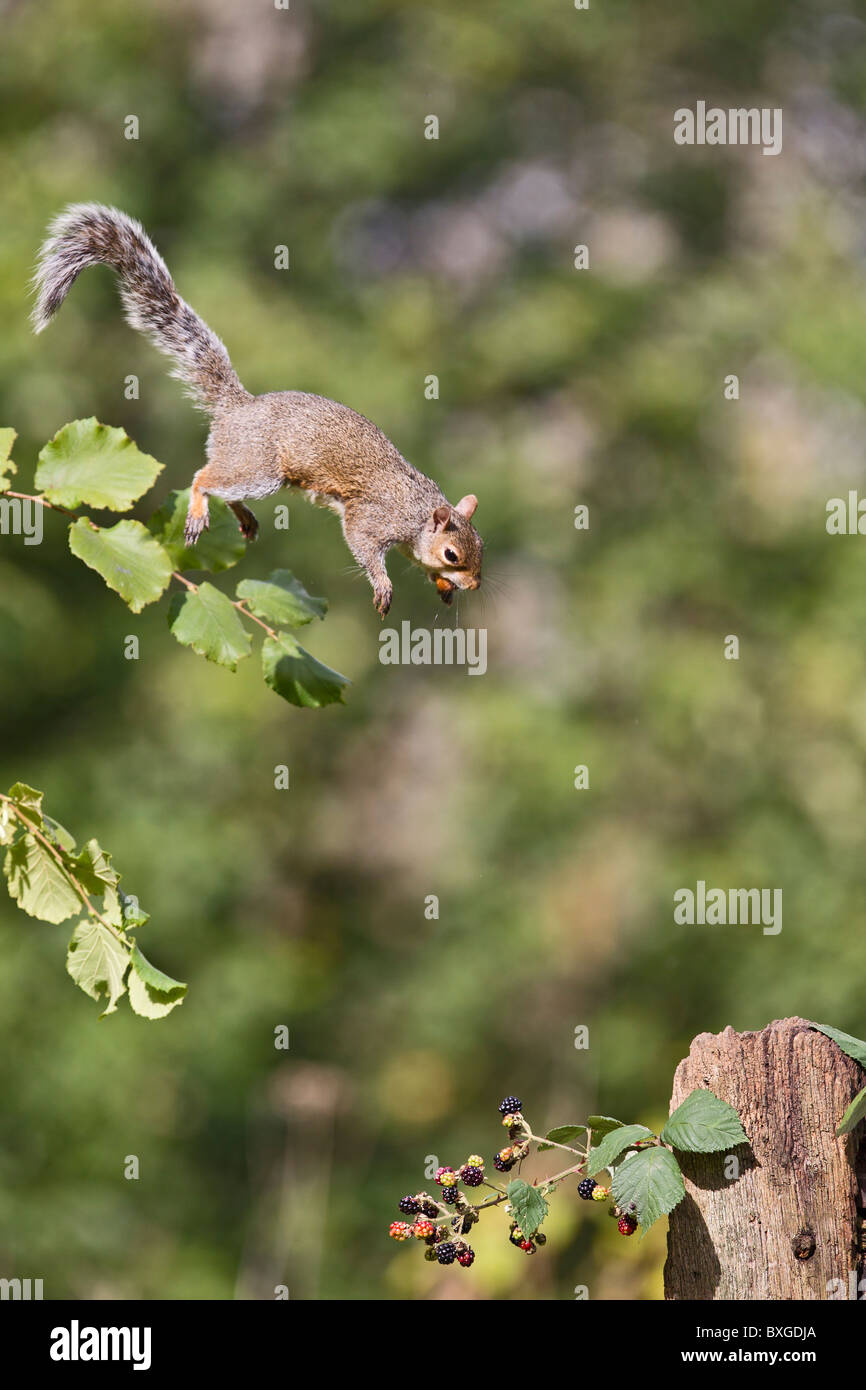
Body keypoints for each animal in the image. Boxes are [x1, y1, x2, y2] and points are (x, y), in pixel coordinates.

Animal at [31, 204, 483, 615]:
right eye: (452, 555)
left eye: (481, 546)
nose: (475, 585)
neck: (418, 514)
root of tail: (238, 407)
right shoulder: (373, 519)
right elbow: (363, 546)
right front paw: (386, 585)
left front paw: (442, 588)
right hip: (258, 467)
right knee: (204, 478)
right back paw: (199, 507)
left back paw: (243, 517)